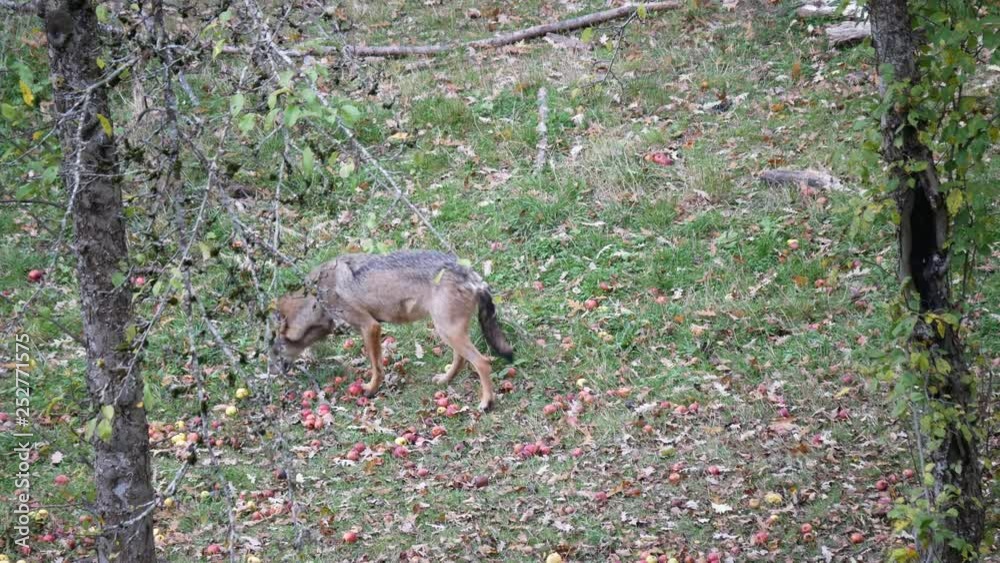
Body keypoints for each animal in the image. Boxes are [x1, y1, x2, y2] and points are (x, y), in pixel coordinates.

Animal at [273, 250, 514, 411]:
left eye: (275, 347)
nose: (277, 372)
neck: (317, 299)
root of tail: (473, 276)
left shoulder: (370, 326)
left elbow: (376, 366)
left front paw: (370, 390)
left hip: (448, 331)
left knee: (483, 362)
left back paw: (486, 402)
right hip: (448, 331)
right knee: (461, 359)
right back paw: (445, 380)